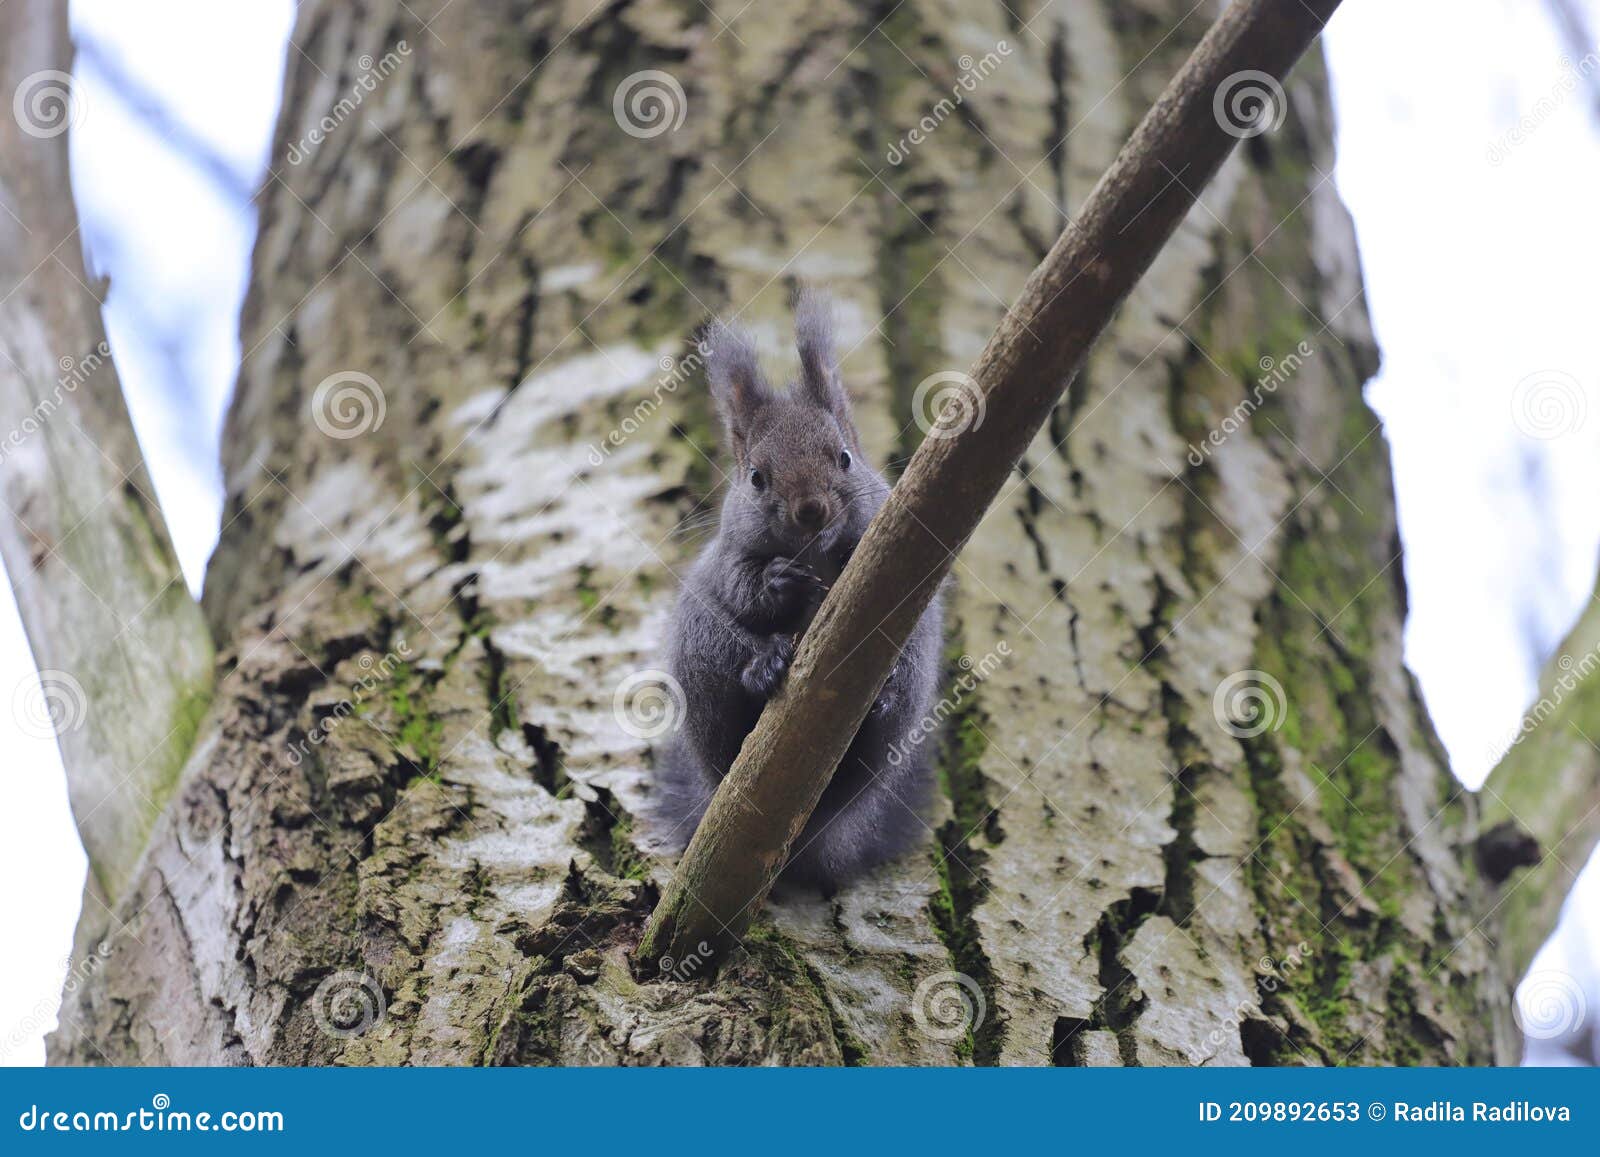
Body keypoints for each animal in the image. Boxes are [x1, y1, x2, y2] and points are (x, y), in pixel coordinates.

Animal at [650, 291, 945, 888]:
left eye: (845, 457)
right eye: (756, 476)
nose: (811, 510)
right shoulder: (728, 557)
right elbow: (741, 586)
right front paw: (778, 582)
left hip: (912, 672)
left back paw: (880, 698)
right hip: (703, 649)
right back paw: (763, 667)